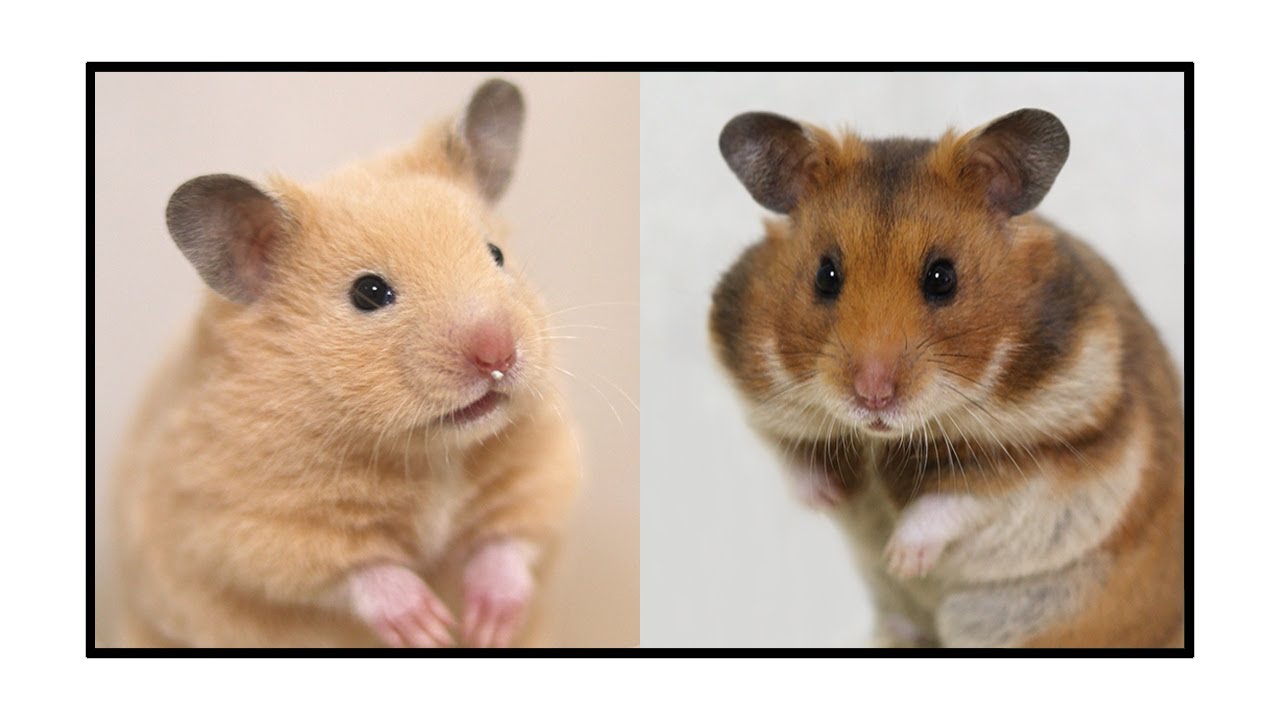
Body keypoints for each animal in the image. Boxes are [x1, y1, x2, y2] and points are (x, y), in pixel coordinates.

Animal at [112, 79, 580, 648]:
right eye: (370, 293)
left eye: (495, 254)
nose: (498, 354)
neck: (433, 455)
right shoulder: (248, 521)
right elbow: (357, 571)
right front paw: (429, 629)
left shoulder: (542, 463)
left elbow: (513, 537)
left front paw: (488, 625)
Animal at [710, 108, 1183, 648]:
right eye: (825, 275)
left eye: (942, 277)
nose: (872, 396)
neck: (885, 438)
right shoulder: (761, 405)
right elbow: (790, 456)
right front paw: (830, 497)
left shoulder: (1061, 456)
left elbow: (955, 501)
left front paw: (900, 559)